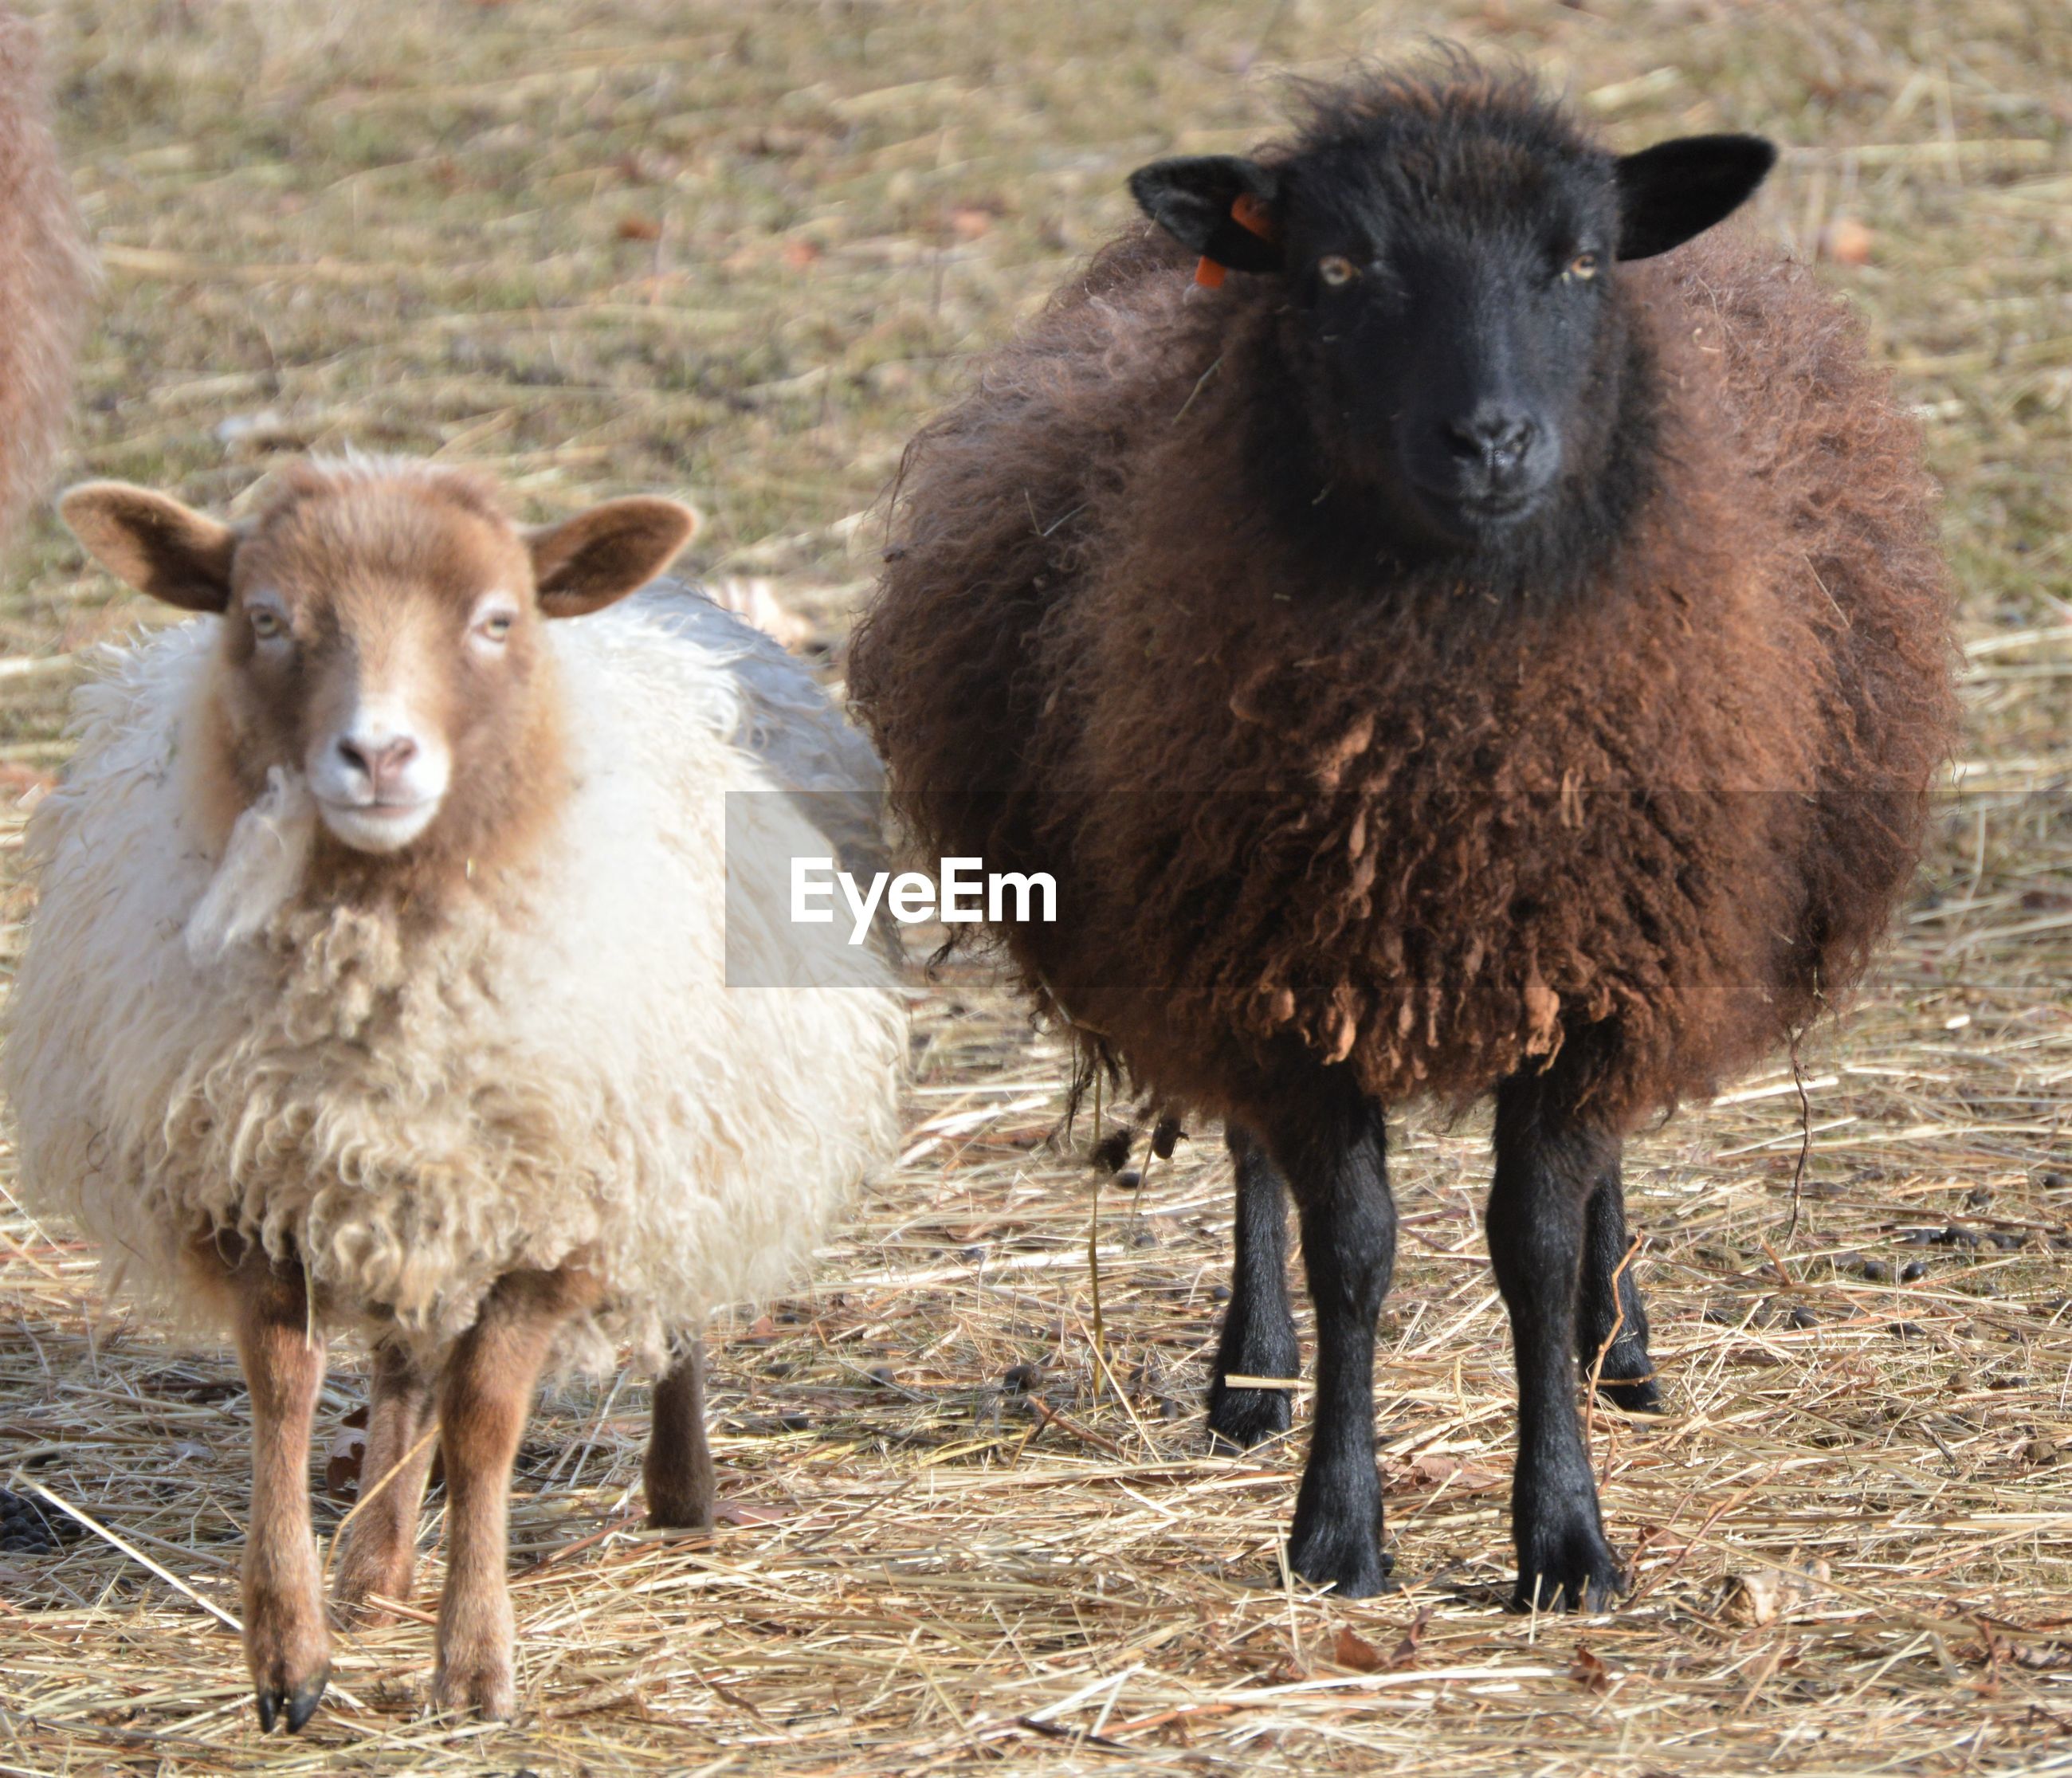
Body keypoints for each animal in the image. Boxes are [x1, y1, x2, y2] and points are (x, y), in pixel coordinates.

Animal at [3, 458, 905, 1725]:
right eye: (263, 615)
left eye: (496, 618)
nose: (377, 756)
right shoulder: (256, 1186)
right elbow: (285, 1392)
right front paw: (290, 1654)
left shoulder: (559, 1211)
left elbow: (484, 1420)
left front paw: (474, 1663)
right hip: (410, 1181)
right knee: (401, 1359)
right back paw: (376, 1562)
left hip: (675, 1136)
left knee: (661, 1313)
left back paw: (679, 1491)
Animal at [849, 63, 1957, 1611]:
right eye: (1338, 266)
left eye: (1580, 260)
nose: (1489, 439)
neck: (1456, 738)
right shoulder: (1286, 965)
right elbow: (1352, 1248)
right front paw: (1336, 1530)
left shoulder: (1599, 958)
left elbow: (1536, 1244)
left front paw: (1567, 1537)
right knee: (1256, 1162)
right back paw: (1254, 1377)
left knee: (1593, 1185)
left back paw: (1622, 1349)